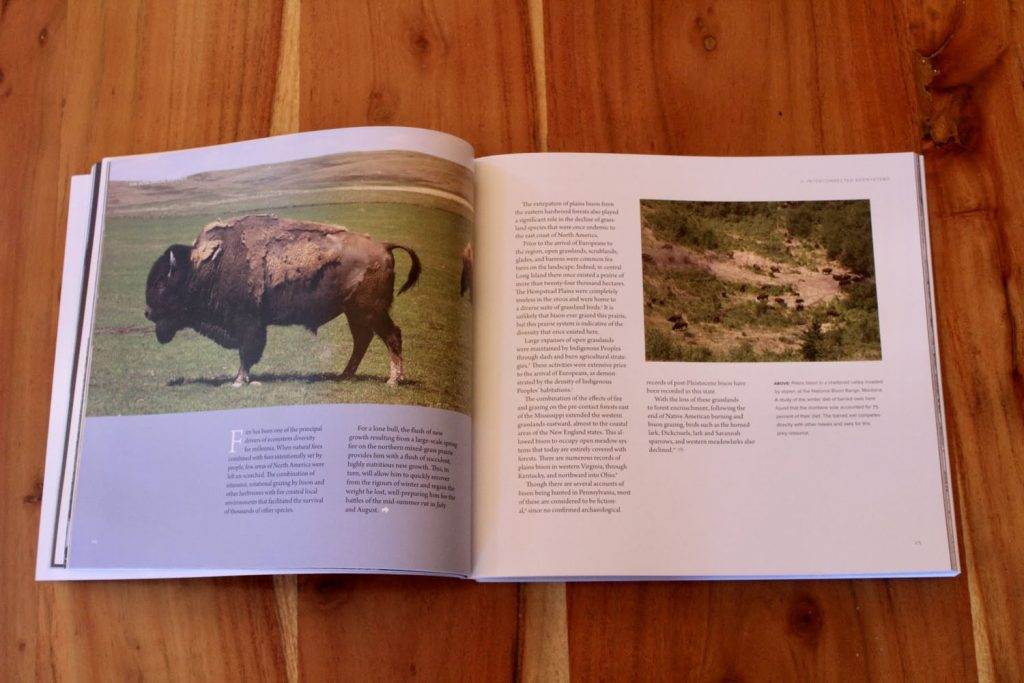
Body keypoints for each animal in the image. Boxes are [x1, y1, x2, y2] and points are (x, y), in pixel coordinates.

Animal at [144, 214, 420, 387]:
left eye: (161, 284)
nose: (147, 312)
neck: (208, 265)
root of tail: (383, 246)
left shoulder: (248, 324)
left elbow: (247, 352)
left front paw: (238, 380)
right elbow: (247, 352)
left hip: (370, 311)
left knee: (391, 335)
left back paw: (393, 380)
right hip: (354, 313)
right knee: (363, 339)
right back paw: (344, 375)